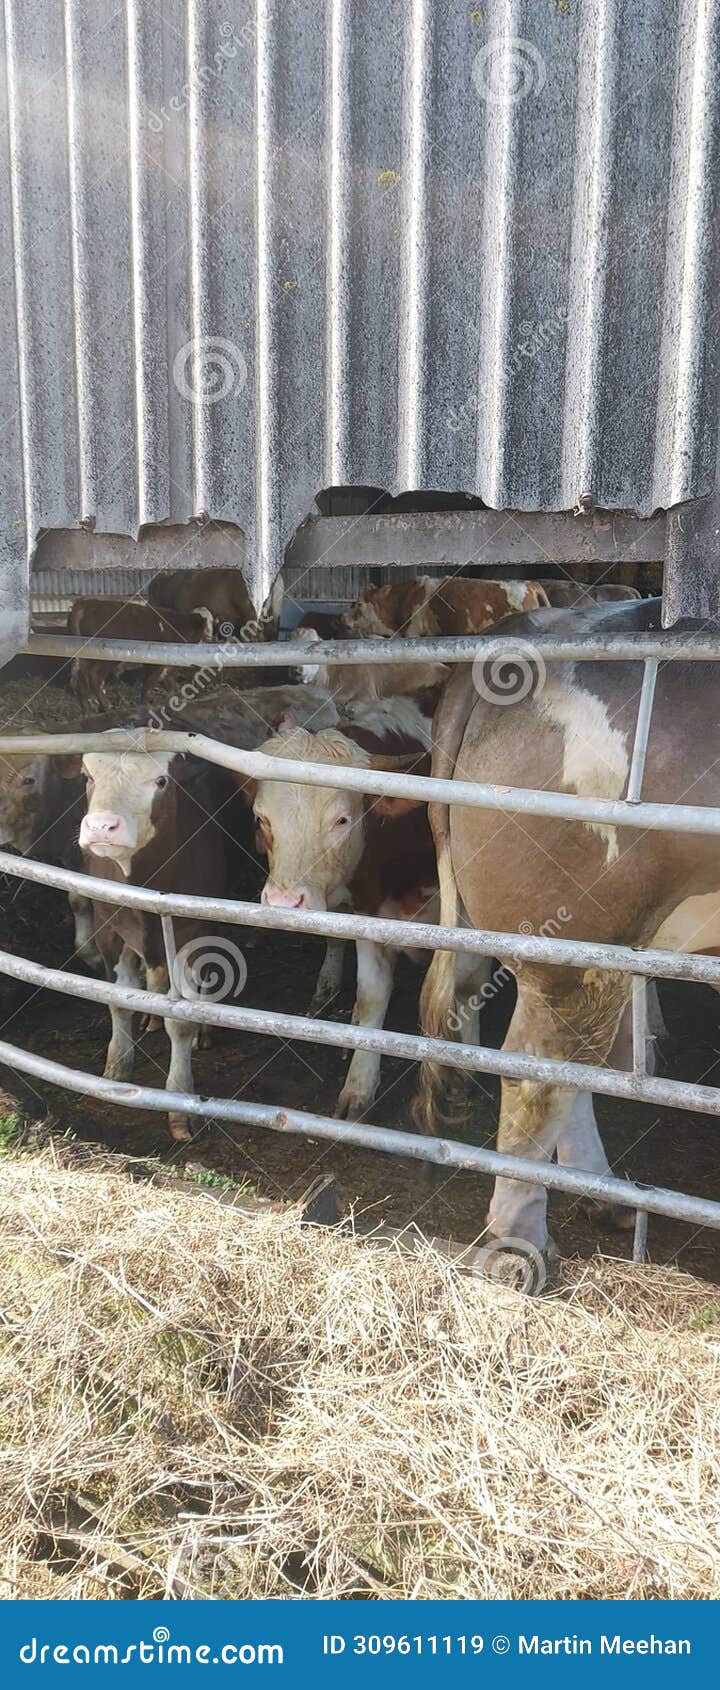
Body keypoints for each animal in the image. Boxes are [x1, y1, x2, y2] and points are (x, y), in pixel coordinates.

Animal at [68, 599, 214, 713]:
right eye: (209, 624)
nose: (211, 637)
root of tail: (86, 604)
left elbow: (166, 678)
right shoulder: (158, 661)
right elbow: (152, 680)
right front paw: (146, 701)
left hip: (85, 658)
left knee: (82, 677)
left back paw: (87, 708)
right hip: (105, 658)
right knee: (95, 676)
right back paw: (106, 705)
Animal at [77, 749, 239, 1138]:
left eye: (162, 781)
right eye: (87, 776)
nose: (102, 827)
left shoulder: (190, 932)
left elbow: (181, 1021)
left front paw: (179, 1101)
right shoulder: (107, 926)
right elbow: (118, 1000)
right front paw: (117, 1065)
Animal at [232, 698, 472, 1117]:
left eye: (342, 820)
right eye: (262, 819)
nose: (283, 902)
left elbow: (462, 984)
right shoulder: (367, 915)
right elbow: (371, 994)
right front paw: (359, 1084)